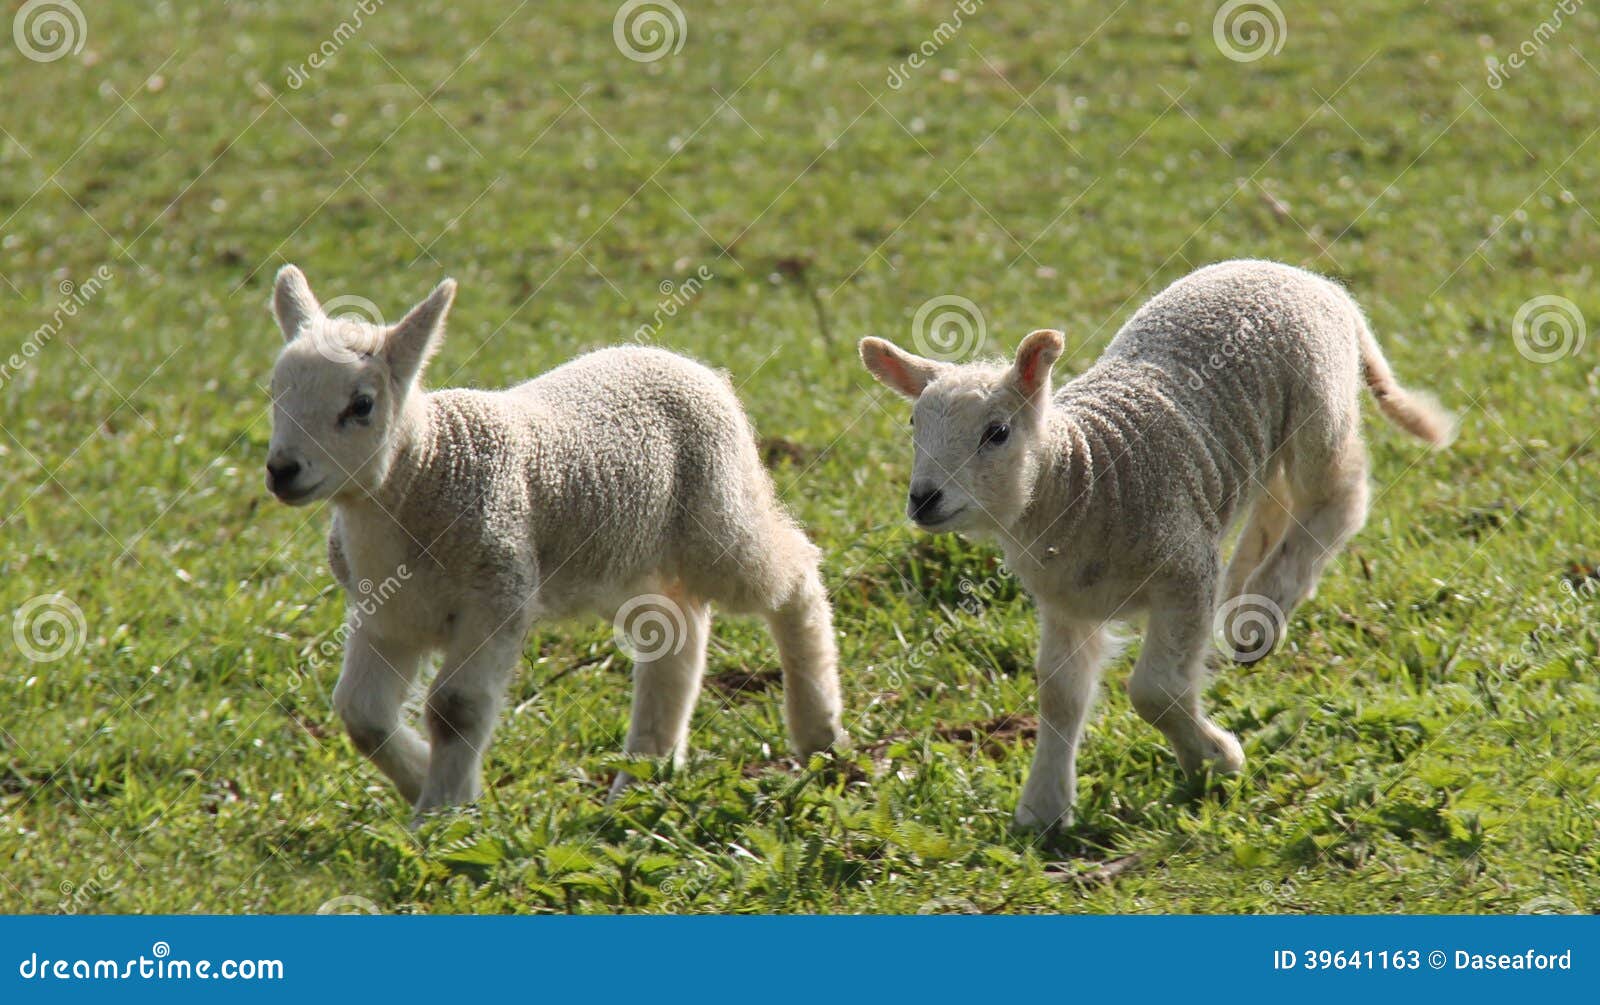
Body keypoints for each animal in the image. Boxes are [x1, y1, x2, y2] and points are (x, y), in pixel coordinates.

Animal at [264, 266, 846, 816]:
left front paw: (440, 817)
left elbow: (455, 708)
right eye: (273, 394)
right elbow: (361, 714)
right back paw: (641, 784)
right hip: (627, 555)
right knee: (676, 632)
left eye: (361, 405)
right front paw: (426, 783)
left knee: (794, 574)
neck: (423, 470)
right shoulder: (388, 612)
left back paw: (818, 732)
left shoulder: (498, 592)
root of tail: (690, 364)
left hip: (716, 512)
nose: (282, 471)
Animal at [859, 259, 1455, 830]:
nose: (924, 499)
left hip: (1319, 406)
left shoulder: (1183, 569)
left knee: (1340, 494)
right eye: (912, 423)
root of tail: (1314, 279)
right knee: (1276, 497)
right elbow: (1059, 695)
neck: (1082, 474)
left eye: (997, 433)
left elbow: (1155, 690)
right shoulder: (1066, 600)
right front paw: (1044, 808)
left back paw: (1262, 610)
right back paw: (1245, 595)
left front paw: (1216, 760)